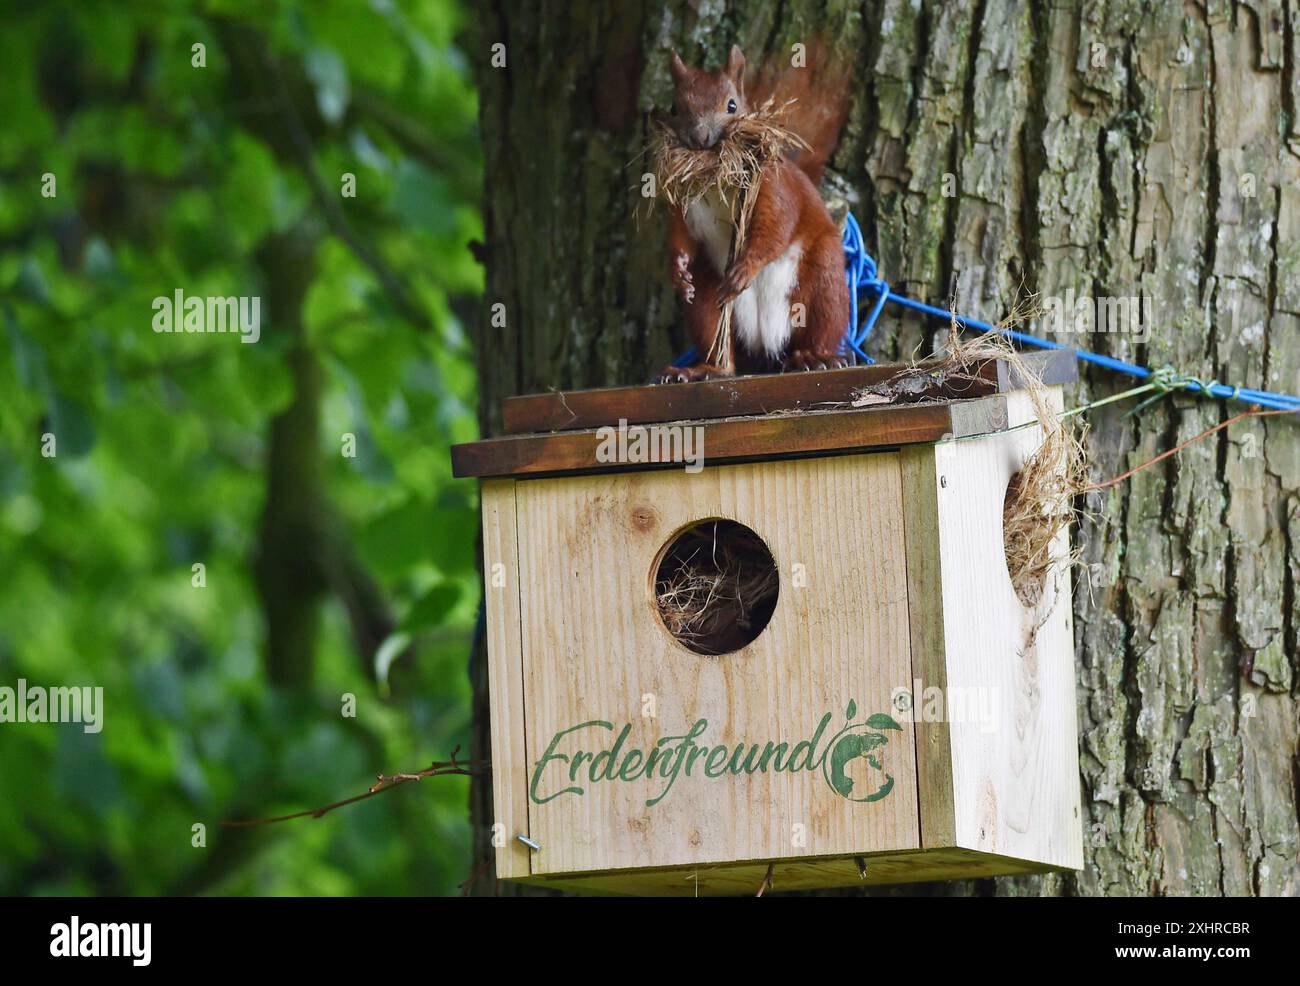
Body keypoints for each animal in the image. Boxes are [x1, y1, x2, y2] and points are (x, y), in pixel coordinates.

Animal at [657, 45, 851, 384]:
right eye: (675, 107)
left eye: (732, 105)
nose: (700, 137)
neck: (713, 178)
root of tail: (767, 346)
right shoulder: (681, 206)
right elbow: (682, 239)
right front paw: (678, 271)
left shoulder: (773, 187)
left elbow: (775, 228)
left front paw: (745, 269)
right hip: (709, 298)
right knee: (720, 343)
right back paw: (703, 370)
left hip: (825, 279)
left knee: (823, 325)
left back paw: (814, 358)